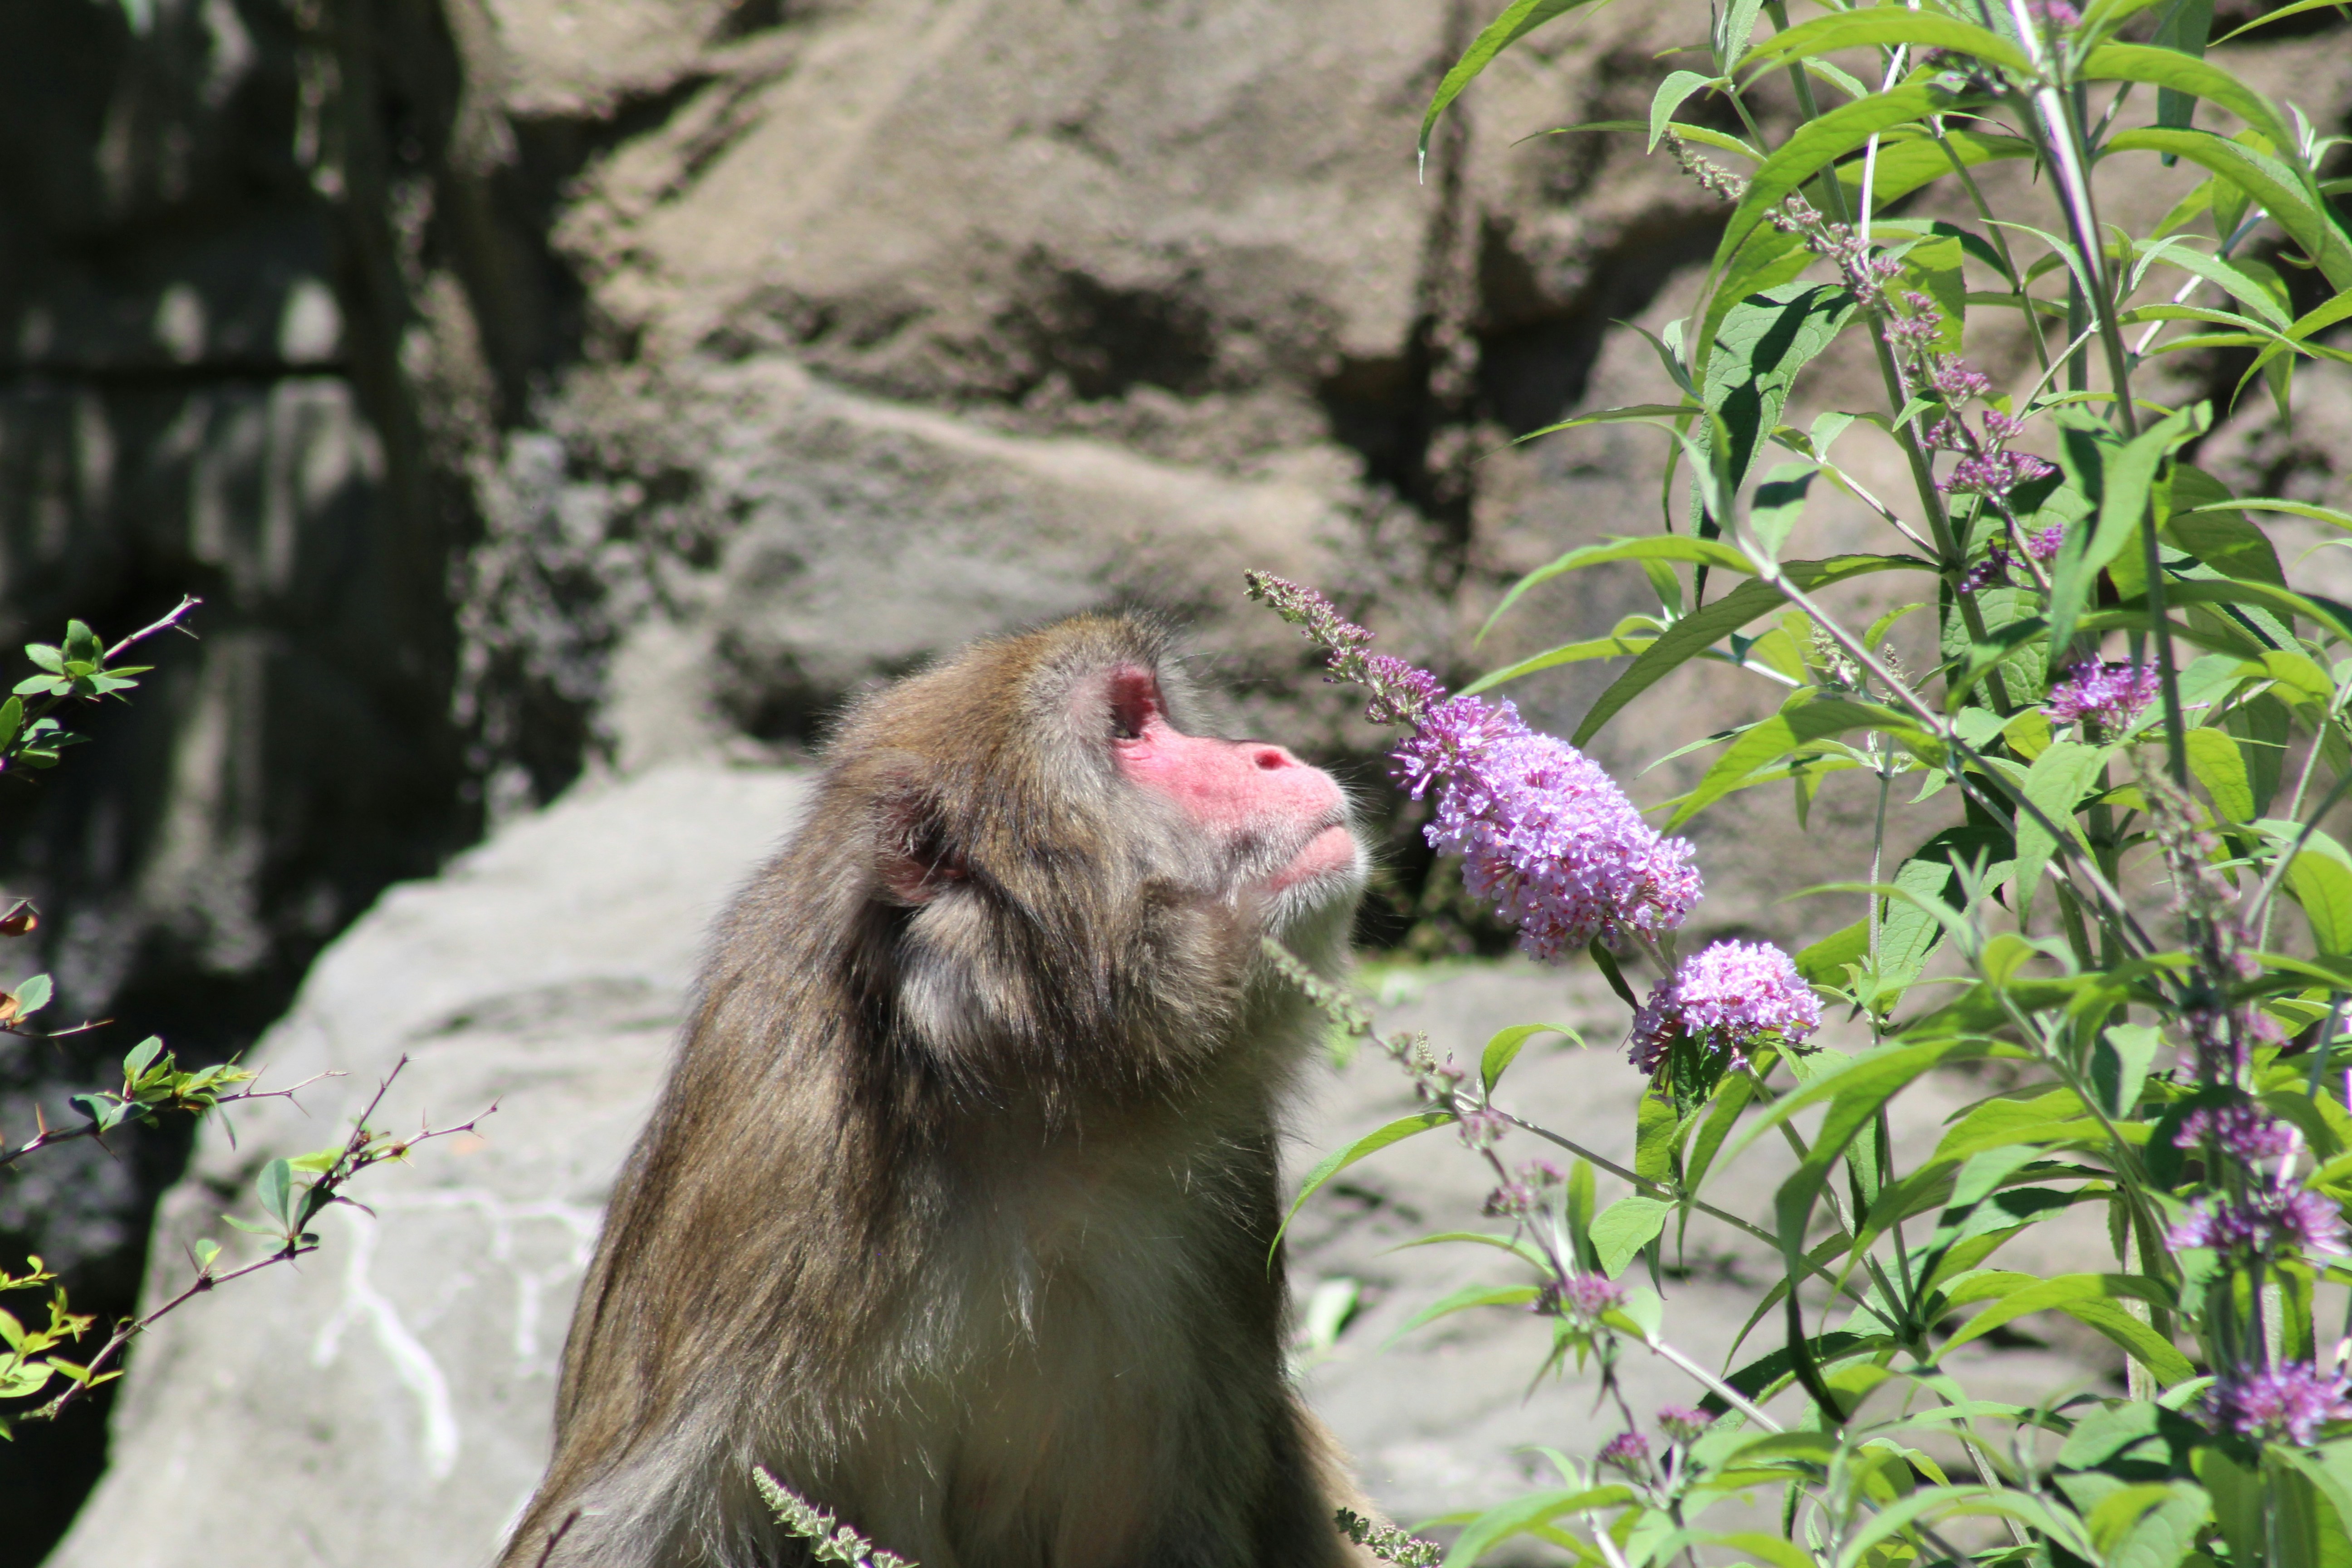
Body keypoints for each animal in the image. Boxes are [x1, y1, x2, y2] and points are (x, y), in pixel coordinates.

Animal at [502, 614, 1383, 1568]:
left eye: (1150, 710)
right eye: (1126, 732)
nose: (1268, 753)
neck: (1033, 1100)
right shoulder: (775, 1168)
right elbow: (623, 1523)